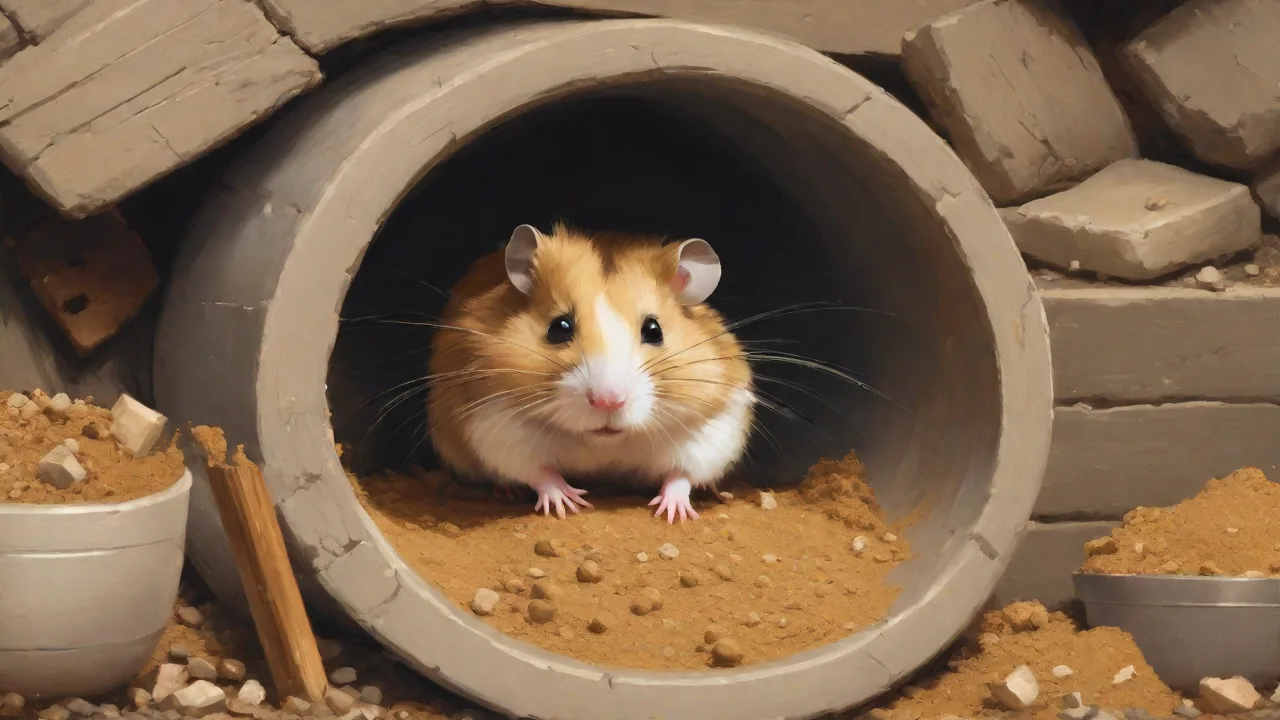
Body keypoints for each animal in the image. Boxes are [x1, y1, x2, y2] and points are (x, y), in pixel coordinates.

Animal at [426, 222, 755, 523]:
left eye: (654, 330)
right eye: (559, 327)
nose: (608, 402)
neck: (604, 442)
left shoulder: (714, 429)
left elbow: (682, 474)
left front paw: (673, 514)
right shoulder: (494, 424)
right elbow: (539, 472)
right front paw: (569, 504)